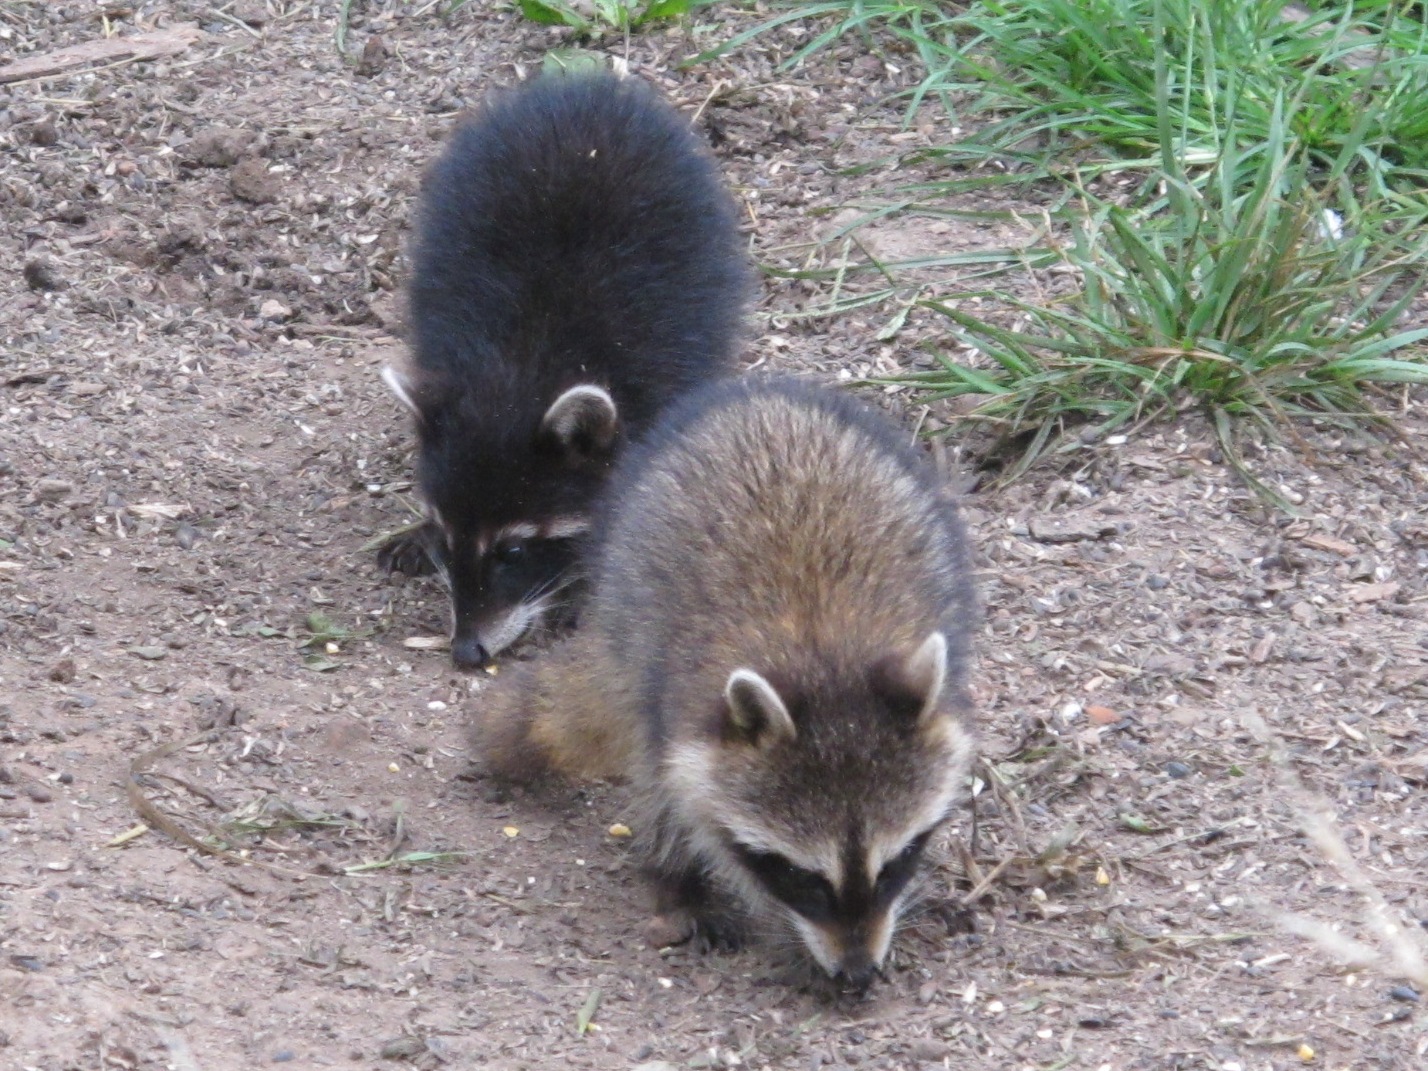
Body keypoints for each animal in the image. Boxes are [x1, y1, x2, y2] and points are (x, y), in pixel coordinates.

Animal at [380, 71, 750, 669]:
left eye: (512, 549)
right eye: (444, 537)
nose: (466, 652)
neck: (520, 363)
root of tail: (587, 85)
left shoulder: (660, 368)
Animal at [476, 378, 977, 989]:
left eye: (892, 866)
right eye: (804, 878)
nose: (857, 974)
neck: (825, 653)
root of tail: (753, 395)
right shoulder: (682, 707)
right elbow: (686, 801)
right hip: (627, 590)